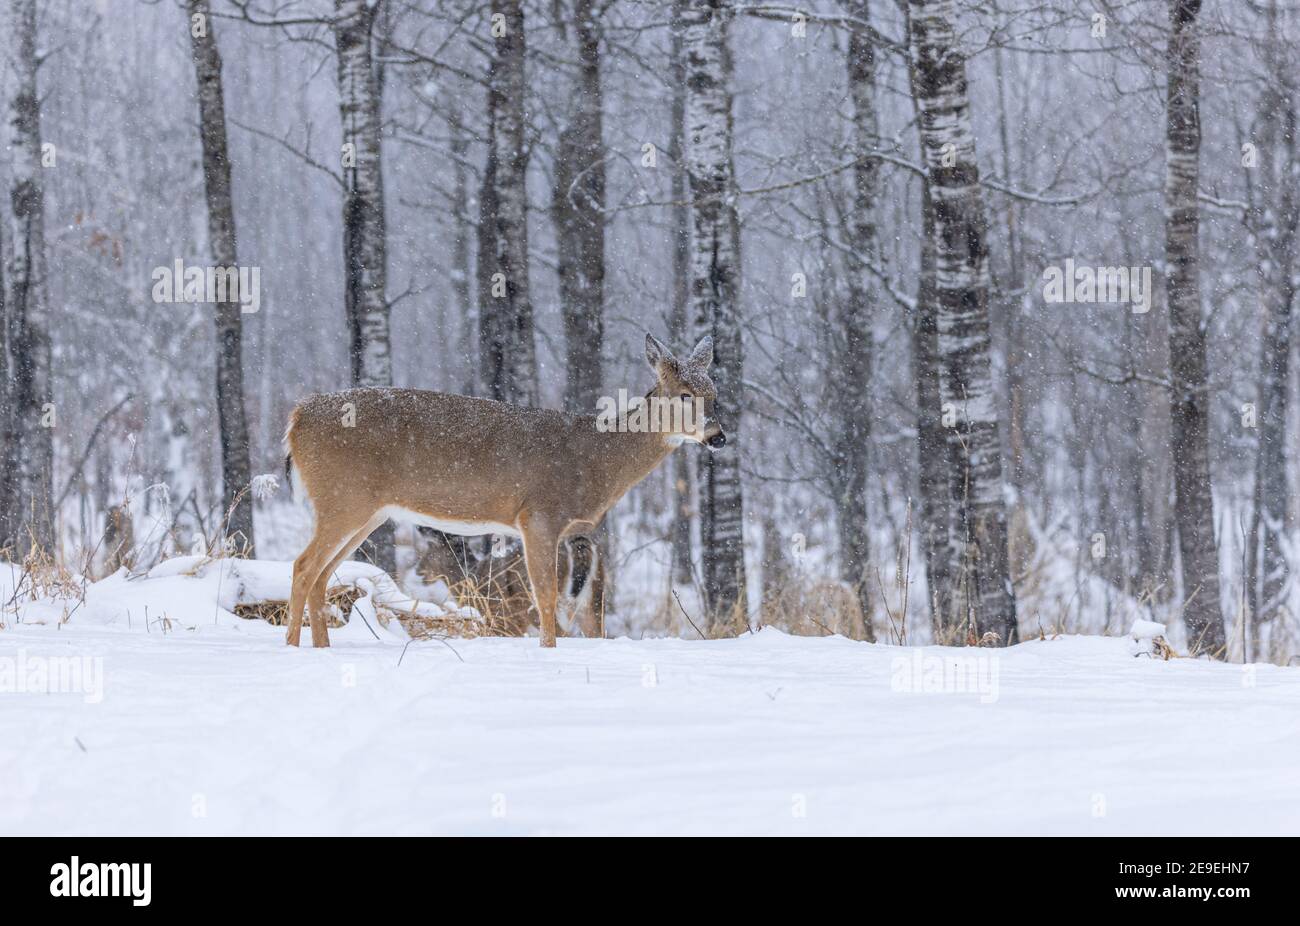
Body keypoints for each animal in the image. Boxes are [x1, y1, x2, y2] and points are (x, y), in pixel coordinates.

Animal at [283, 333, 724, 648]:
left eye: (715, 394)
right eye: (685, 394)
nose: (718, 437)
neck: (594, 461)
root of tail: (297, 417)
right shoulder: (538, 515)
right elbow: (545, 599)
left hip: (365, 509)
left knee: (321, 573)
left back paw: (320, 648)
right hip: (342, 497)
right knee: (304, 565)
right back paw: (292, 647)